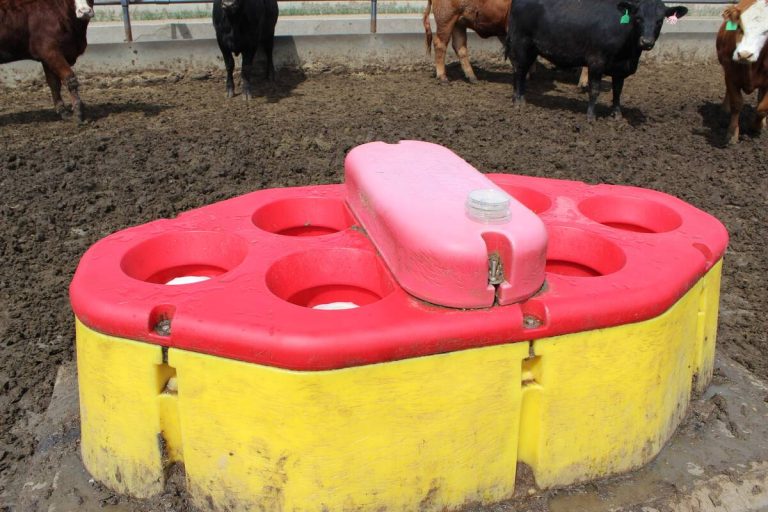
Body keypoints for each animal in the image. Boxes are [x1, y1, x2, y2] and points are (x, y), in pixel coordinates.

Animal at [504, 0, 687, 120]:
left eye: (659, 20)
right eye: (638, 18)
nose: (646, 42)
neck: (629, 54)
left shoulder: (620, 70)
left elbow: (617, 91)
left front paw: (617, 114)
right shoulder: (596, 62)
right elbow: (594, 90)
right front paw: (591, 116)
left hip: (532, 49)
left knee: (521, 72)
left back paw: (520, 98)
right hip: (521, 44)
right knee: (519, 71)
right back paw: (518, 101)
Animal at [716, 0, 768, 145]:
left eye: (766, 31)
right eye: (740, 26)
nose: (744, 54)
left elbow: (762, 108)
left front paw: (756, 127)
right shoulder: (730, 75)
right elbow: (736, 103)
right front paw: (732, 134)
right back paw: (724, 110)